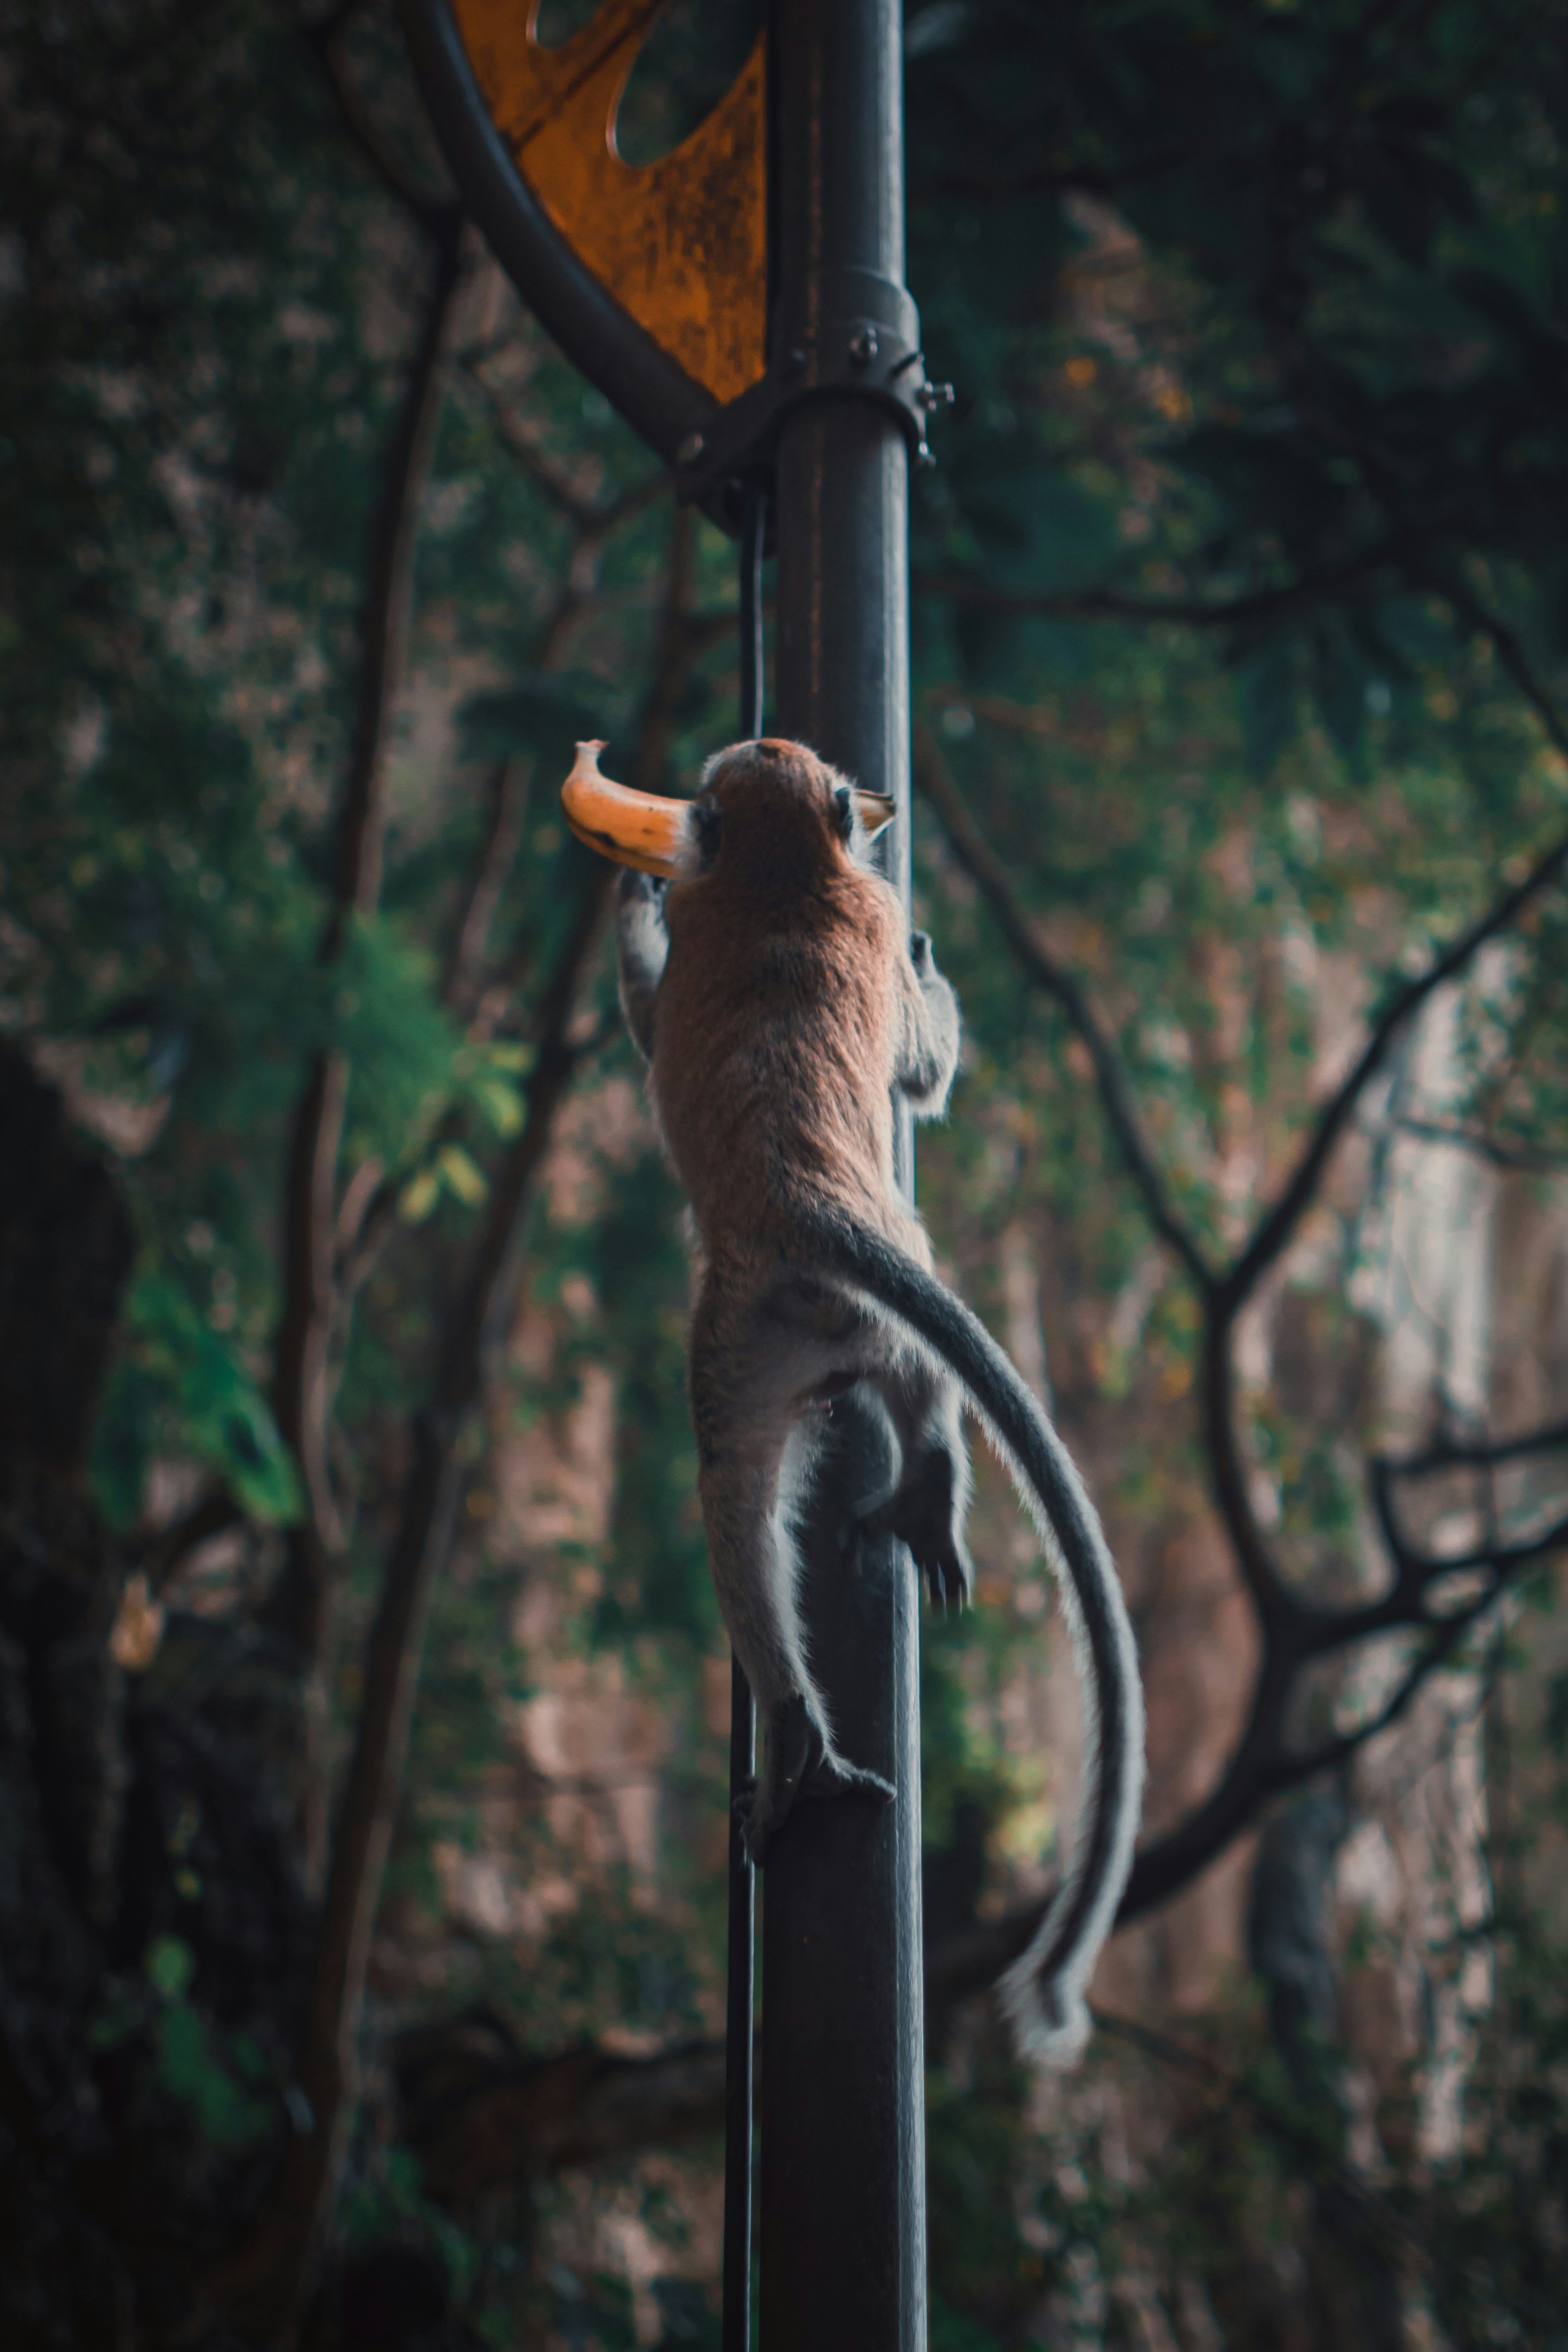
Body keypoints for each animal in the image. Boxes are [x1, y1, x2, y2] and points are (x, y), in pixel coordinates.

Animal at [560, 734, 1144, 2063]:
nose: (865, 807)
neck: (782, 875)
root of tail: (803, 1205)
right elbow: (918, 1069)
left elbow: (655, 1021)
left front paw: (635, 896)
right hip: (833, 1314)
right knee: (855, 1420)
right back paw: (912, 1511)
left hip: (750, 1329)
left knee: (732, 1485)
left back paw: (800, 1719)